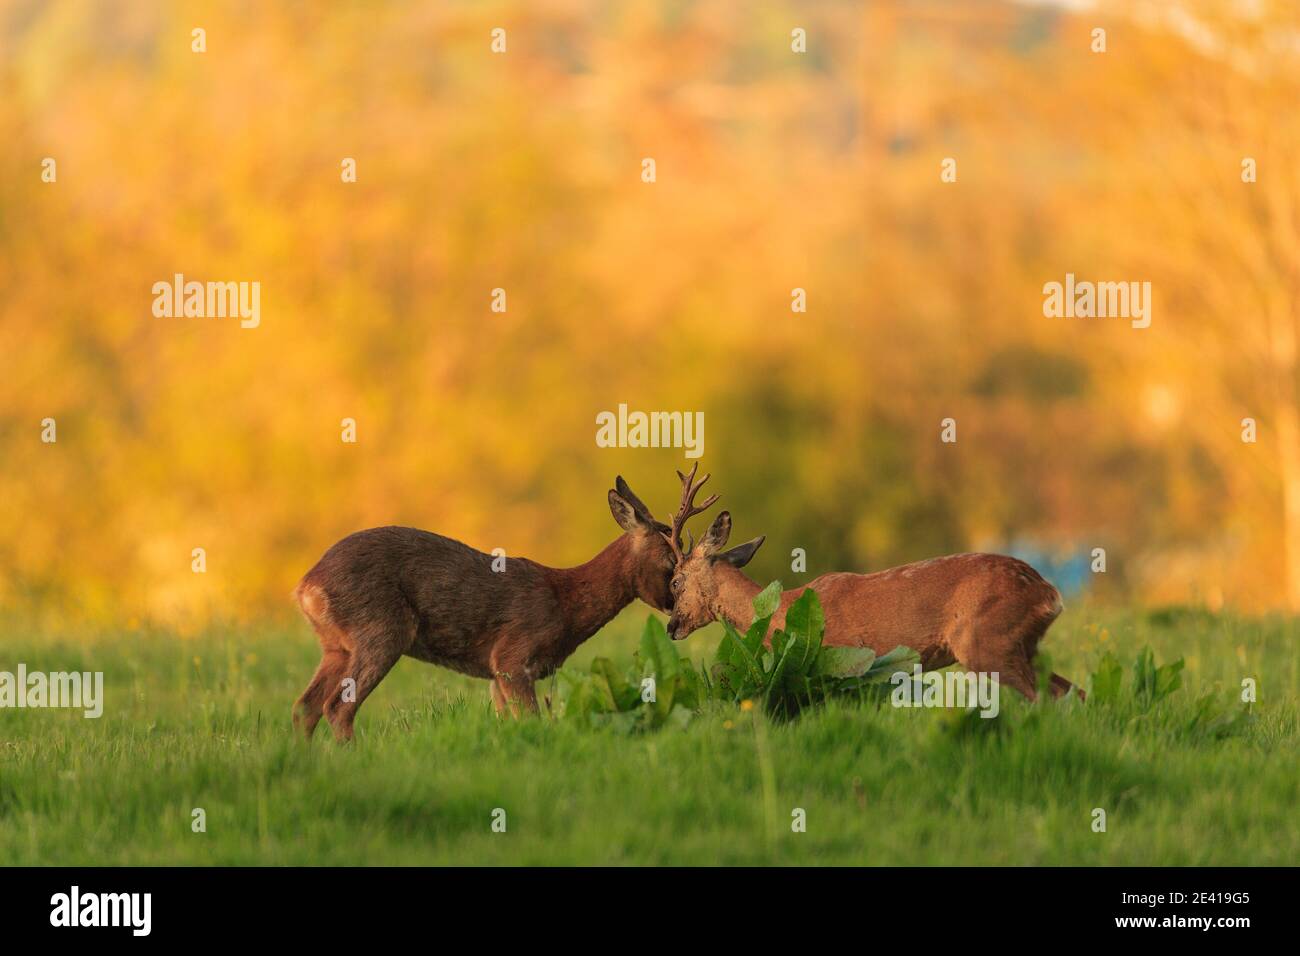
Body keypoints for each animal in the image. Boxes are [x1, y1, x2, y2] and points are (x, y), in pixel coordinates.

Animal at [292, 474, 716, 740]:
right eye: (671, 563)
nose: (673, 611)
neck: (566, 603)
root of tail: (307, 585)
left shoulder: (495, 674)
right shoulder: (513, 656)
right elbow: (533, 719)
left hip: (336, 646)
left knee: (305, 707)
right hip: (380, 629)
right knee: (337, 708)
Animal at [661, 469, 1079, 701]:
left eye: (676, 581)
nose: (671, 627)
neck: (781, 612)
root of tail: (1050, 593)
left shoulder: (847, 661)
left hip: (986, 641)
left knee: (1041, 699)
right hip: (1025, 646)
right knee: (1072, 693)